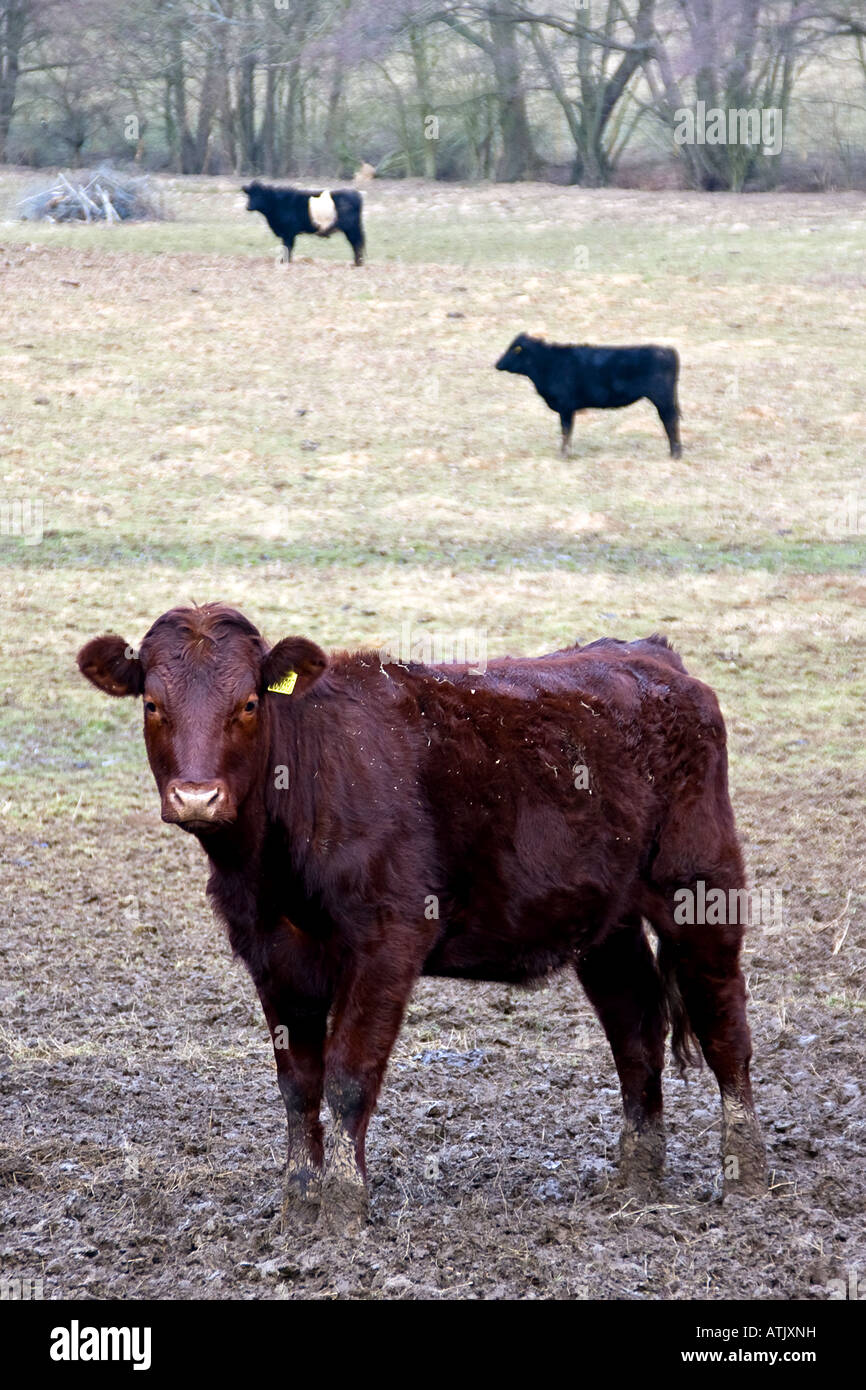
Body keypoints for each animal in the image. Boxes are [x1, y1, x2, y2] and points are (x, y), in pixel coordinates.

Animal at [77, 605, 765, 1230]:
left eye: (248, 703)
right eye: (152, 705)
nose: (197, 797)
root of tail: (651, 655)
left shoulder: (390, 938)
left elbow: (349, 1075)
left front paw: (344, 1209)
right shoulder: (270, 950)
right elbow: (297, 1084)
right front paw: (297, 1206)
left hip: (701, 886)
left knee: (723, 1023)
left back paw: (746, 1176)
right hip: (605, 919)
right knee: (636, 1025)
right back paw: (636, 1177)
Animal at [495, 333, 682, 458]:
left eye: (514, 350)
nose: (497, 364)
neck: (549, 363)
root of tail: (666, 350)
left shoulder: (566, 407)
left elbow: (565, 430)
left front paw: (563, 454)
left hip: (662, 398)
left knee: (670, 421)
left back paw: (675, 454)